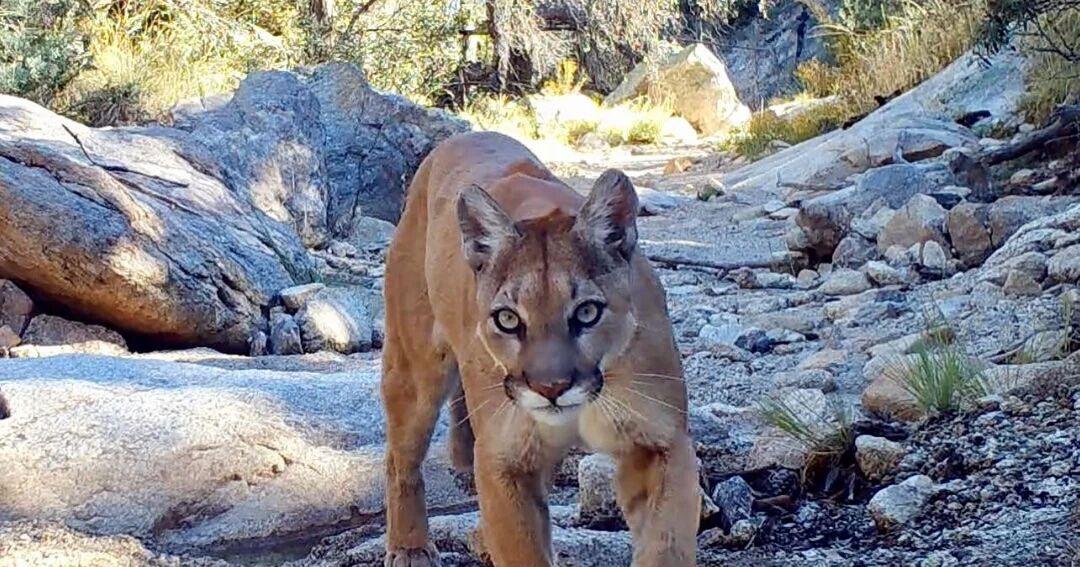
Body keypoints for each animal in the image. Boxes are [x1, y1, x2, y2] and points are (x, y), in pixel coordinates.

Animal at [381, 131, 699, 567]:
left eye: (586, 312)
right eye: (508, 319)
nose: (551, 388)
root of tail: (463, 135)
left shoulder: (661, 441)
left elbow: (666, 542)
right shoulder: (503, 459)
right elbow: (522, 550)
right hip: (414, 369)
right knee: (401, 458)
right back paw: (409, 547)